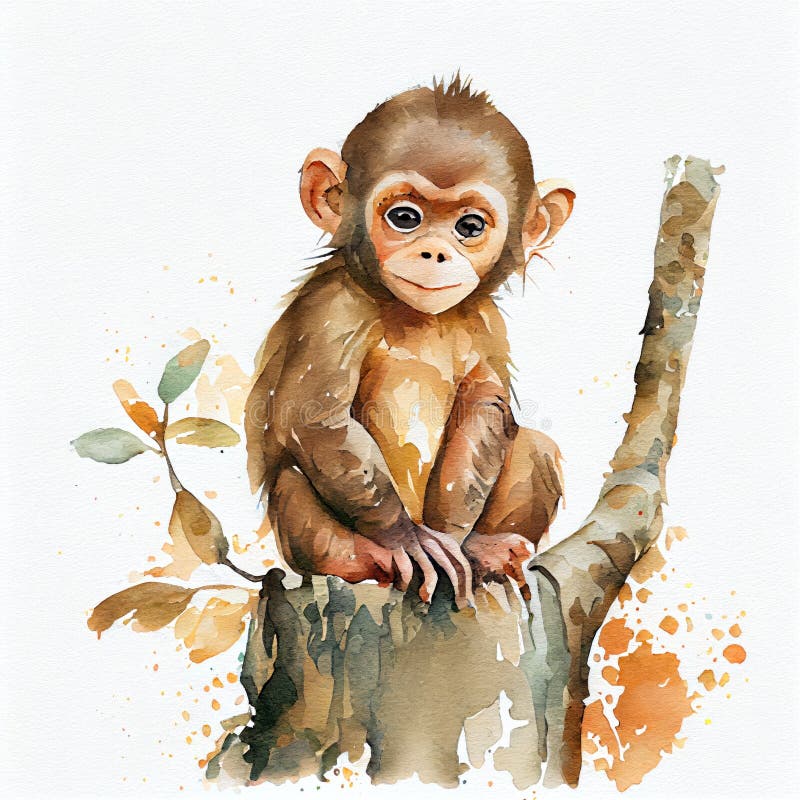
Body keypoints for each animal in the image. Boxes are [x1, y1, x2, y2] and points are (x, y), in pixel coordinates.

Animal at [244, 77, 574, 609]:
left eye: (469, 227)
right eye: (404, 217)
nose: (435, 252)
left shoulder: (487, 321)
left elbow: (485, 406)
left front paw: (454, 538)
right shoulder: (333, 309)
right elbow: (314, 419)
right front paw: (408, 538)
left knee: (535, 443)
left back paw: (489, 549)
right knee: (295, 480)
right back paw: (362, 559)